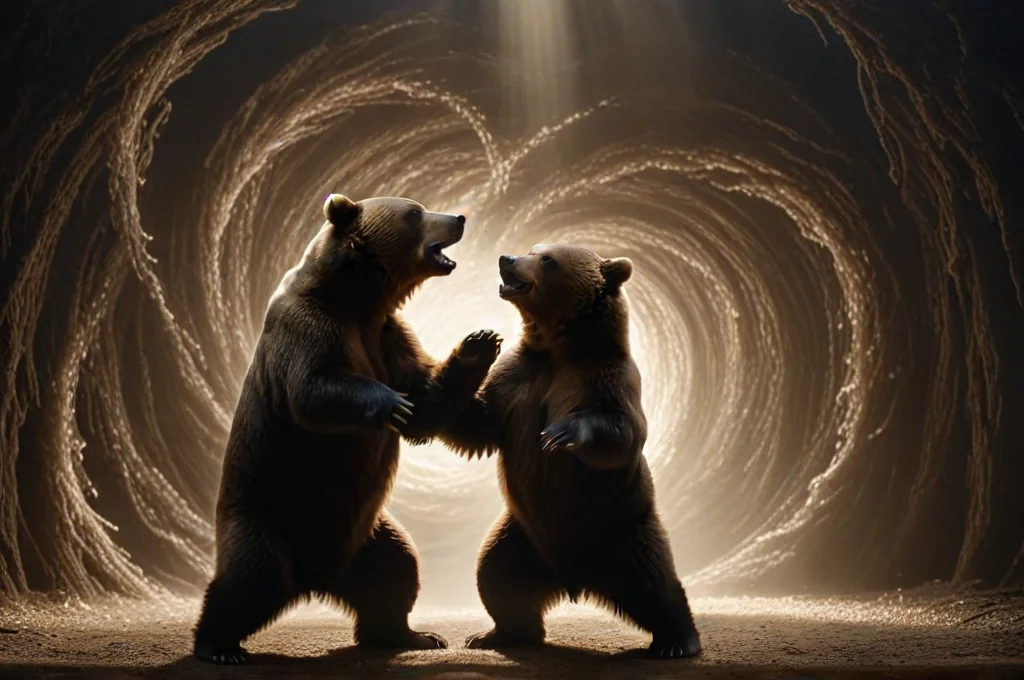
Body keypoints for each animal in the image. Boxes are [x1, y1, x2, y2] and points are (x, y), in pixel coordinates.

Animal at [192, 193, 502, 664]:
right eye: (415, 212)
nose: (459, 218)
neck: (357, 299)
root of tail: (316, 579)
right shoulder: (308, 325)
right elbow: (314, 388)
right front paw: (391, 402)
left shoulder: (388, 335)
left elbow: (425, 401)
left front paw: (480, 343)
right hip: (266, 514)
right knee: (251, 578)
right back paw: (218, 645)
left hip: (365, 535)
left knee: (397, 573)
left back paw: (411, 635)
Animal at [438, 243, 701, 659]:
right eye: (533, 250)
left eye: (547, 259)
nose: (507, 259)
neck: (556, 348)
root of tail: (573, 580)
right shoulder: (516, 382)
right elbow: (477, 424)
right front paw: (476, 346)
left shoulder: (603, 377)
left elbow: (621, 430)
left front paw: (561, 432)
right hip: (522, 538)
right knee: (496, 578)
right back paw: (498, 634)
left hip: (625, 532)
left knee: (658, 586)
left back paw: (677, 640)